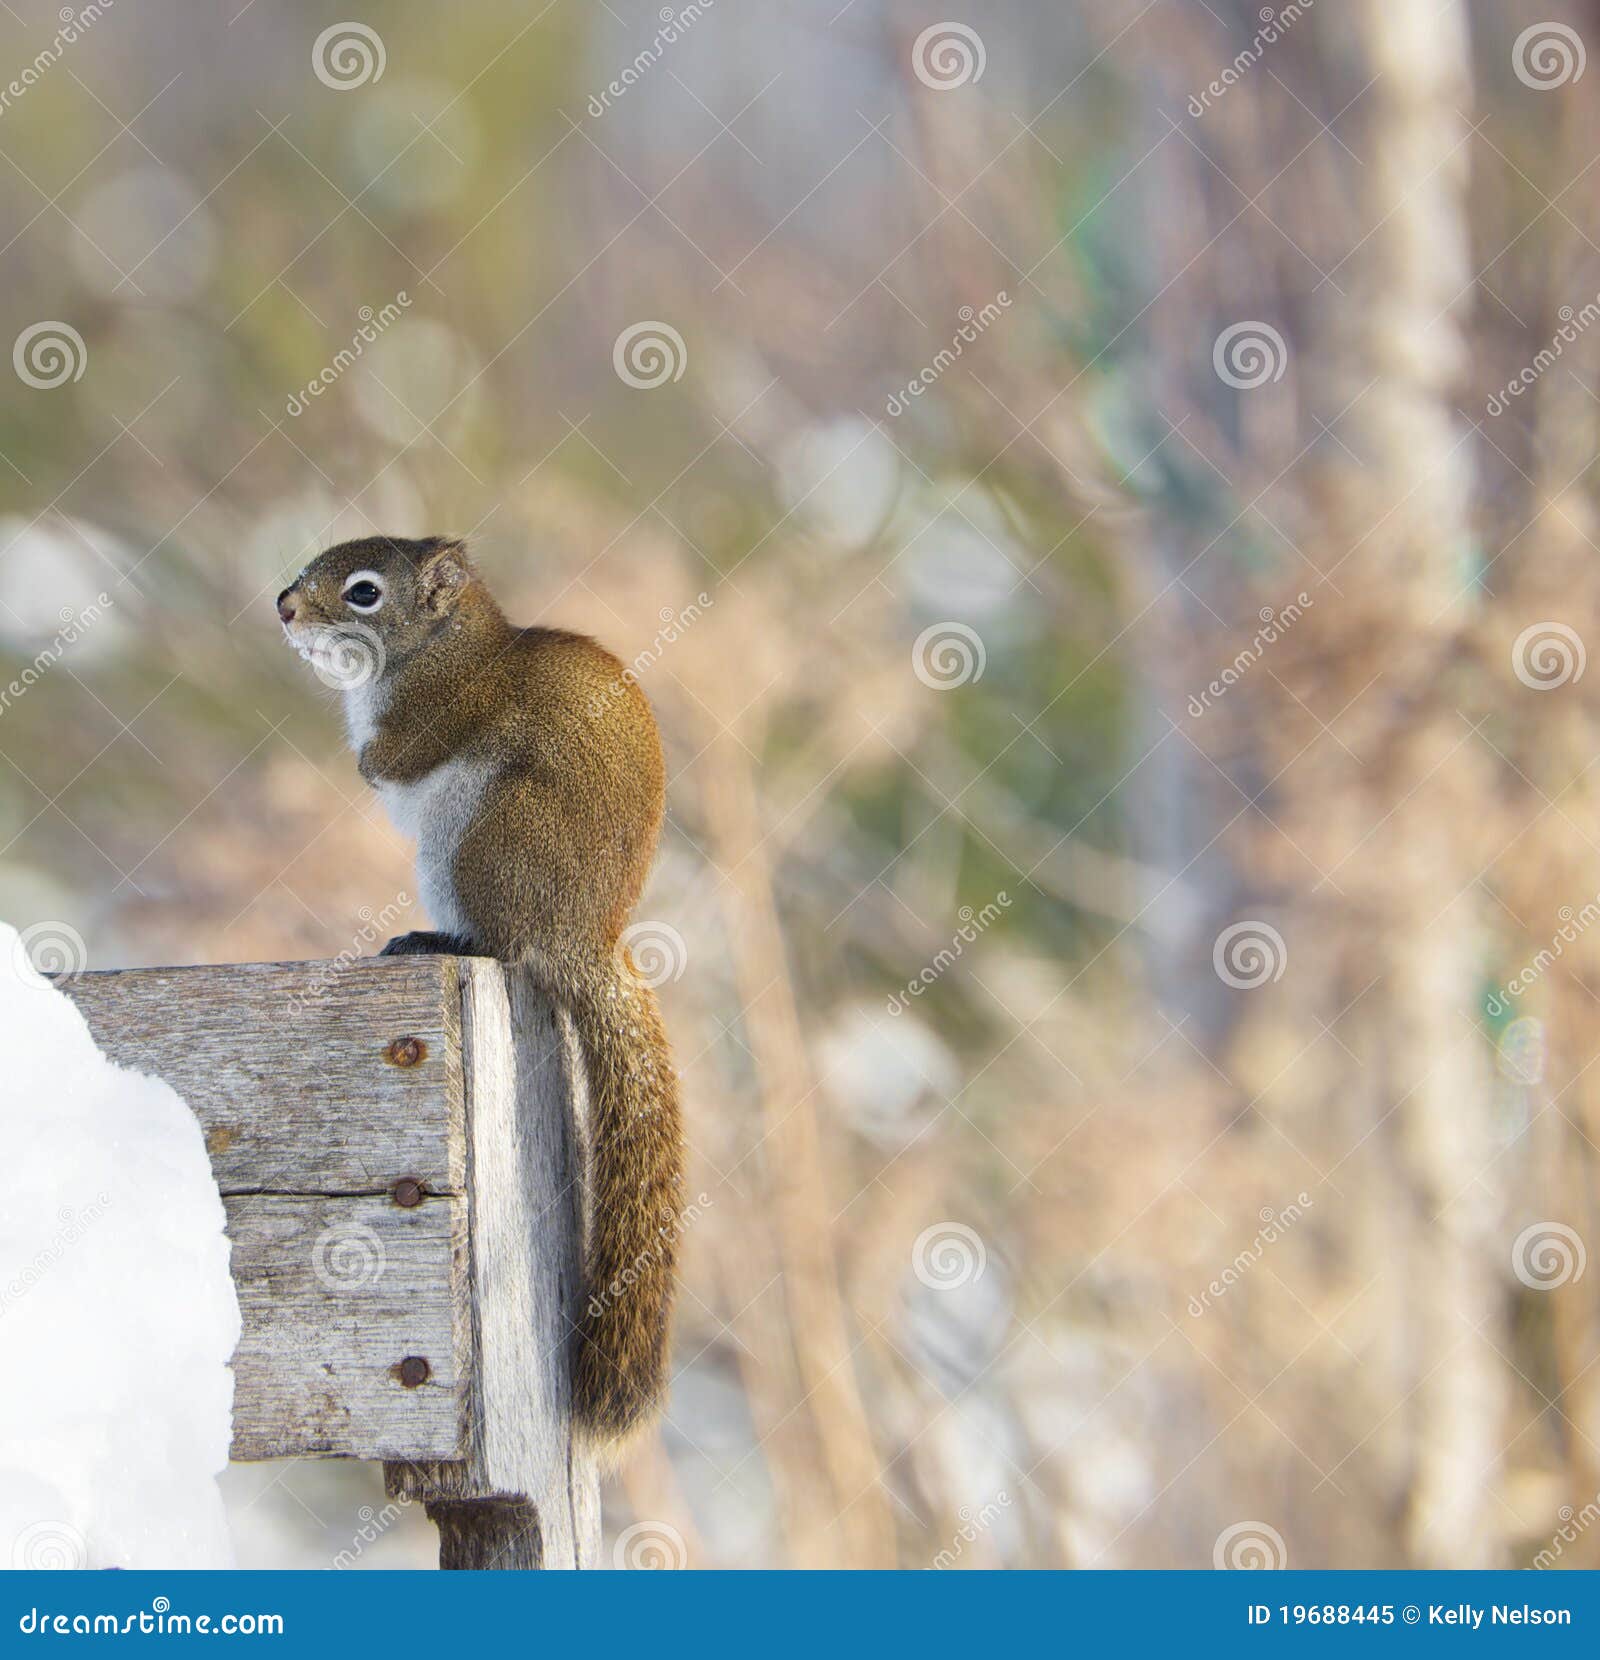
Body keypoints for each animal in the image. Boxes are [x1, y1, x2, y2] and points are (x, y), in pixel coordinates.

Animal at [276, 534, 683, 1450]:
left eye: (363, 592)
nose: (284, 606)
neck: (437, 646)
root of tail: (581, 941)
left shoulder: (444, 710)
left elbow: (400, 755)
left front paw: (368, 763)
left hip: (488, 841)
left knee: (502, 940)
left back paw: (441, 939)